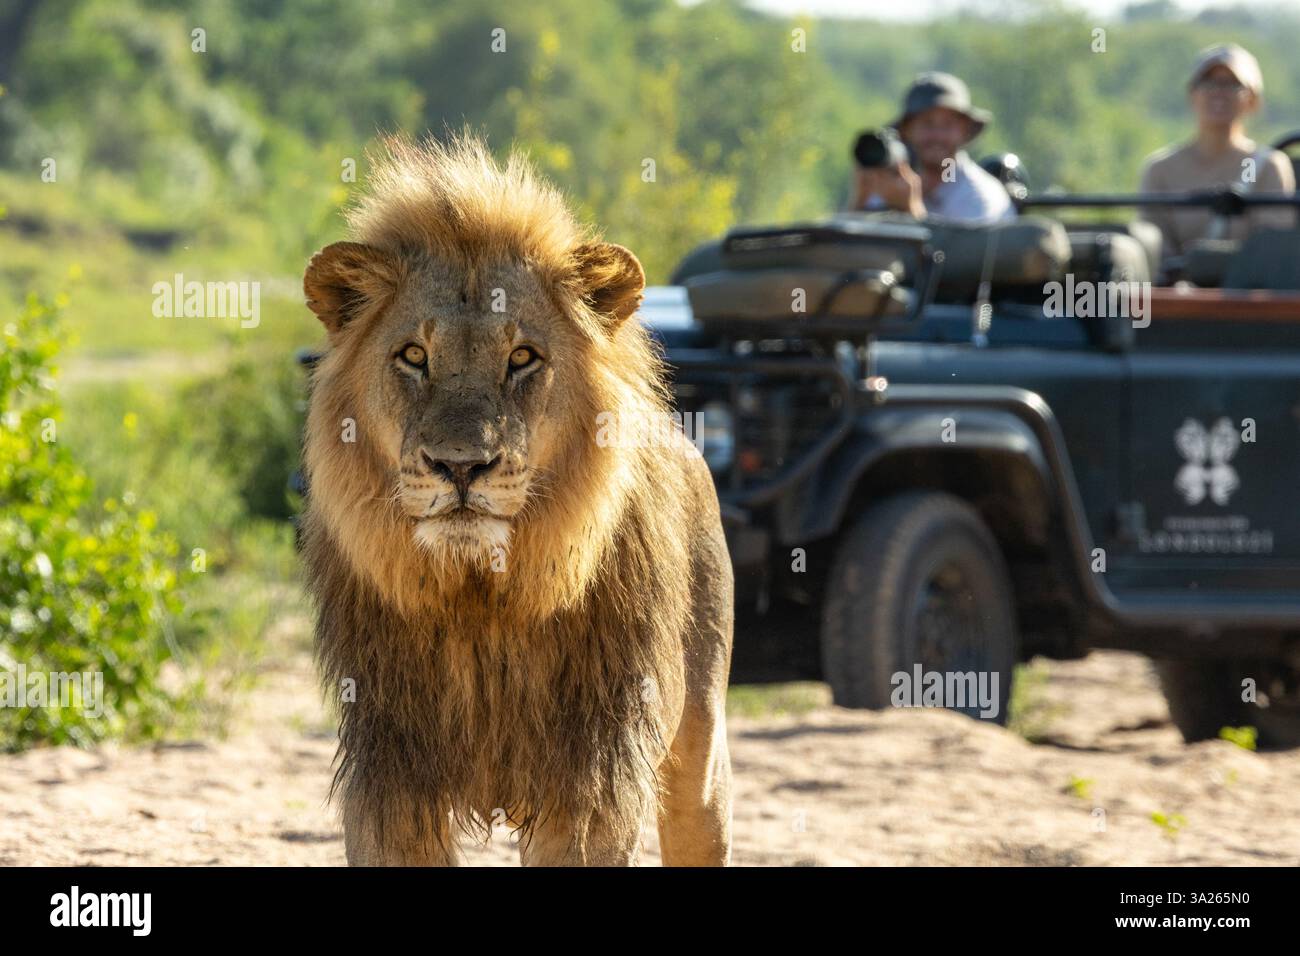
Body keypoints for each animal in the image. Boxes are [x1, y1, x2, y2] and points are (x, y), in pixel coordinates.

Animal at [299, 134, 734, 866]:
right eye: (413, 355)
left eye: (523, 357)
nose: (460, 466)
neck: (482, 599)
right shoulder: (388, 771)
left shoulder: (589, 777)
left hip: (700, 743)